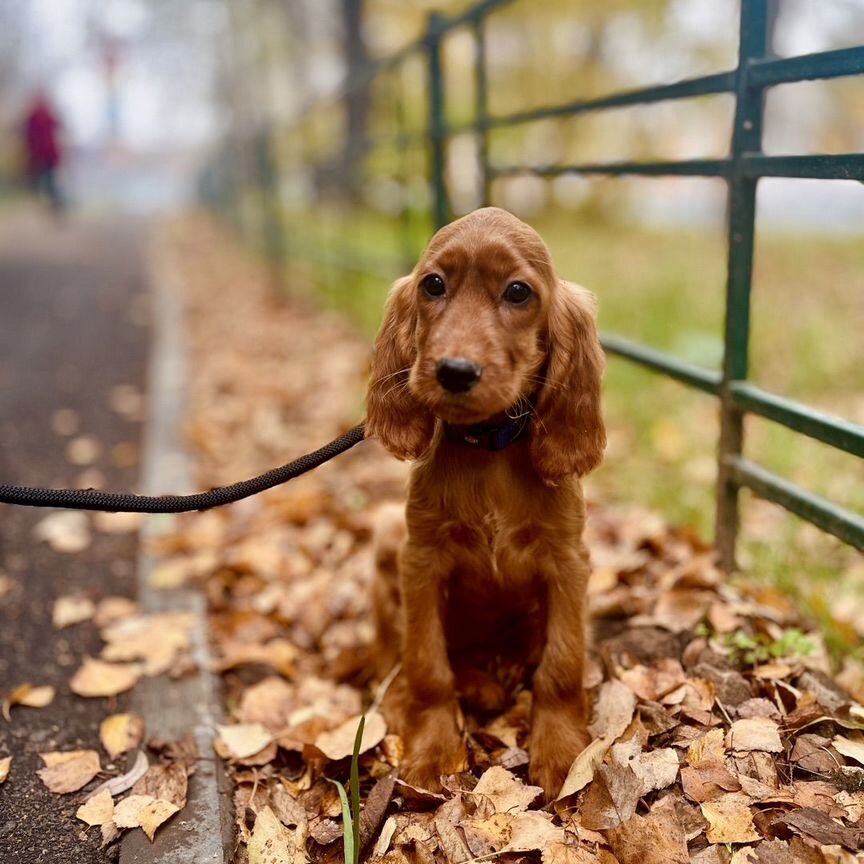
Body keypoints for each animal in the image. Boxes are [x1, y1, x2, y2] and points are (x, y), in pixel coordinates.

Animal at [362, 206, 600, 800]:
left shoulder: (569, 562)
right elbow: (426, 664)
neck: (488, 446)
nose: (454, 371)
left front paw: (562, 753)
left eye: (518, 292)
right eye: (433, 284)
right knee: (394, 655)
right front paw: (432, 752)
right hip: (385, 536)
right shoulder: (420, 560)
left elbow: (561, 665)